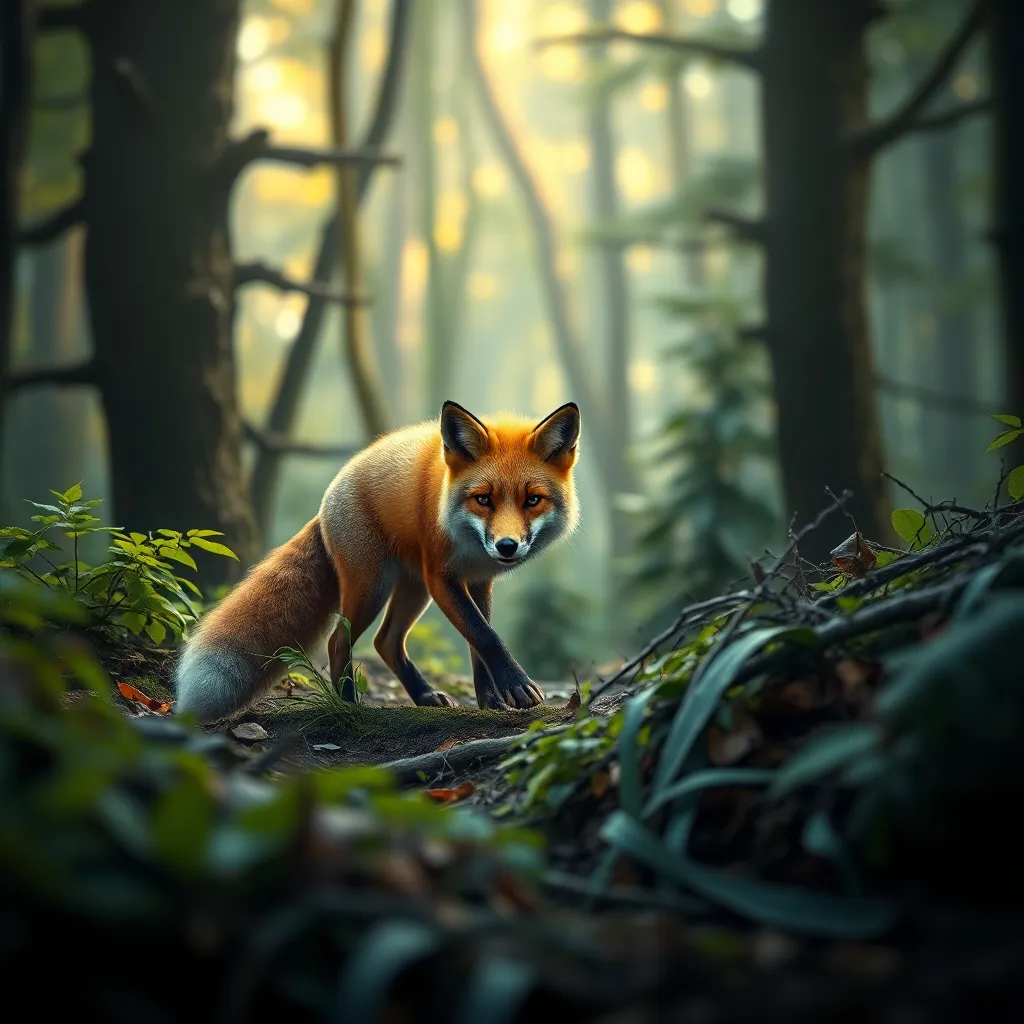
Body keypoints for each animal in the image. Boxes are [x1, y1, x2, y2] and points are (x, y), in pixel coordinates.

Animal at [173, 400, 581, 723]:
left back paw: (423, 695)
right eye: (483, 499)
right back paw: (348, 703)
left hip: (412, 589)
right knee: (339, 640)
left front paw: (491, 702)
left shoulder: (478, 580)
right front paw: (517, 687)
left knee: (386, 641)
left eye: (532, 500)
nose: (506, 546)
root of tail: (328, 499)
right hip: (374, 586)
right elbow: (486, 635)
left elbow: (477, 642)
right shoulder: (442, 576)